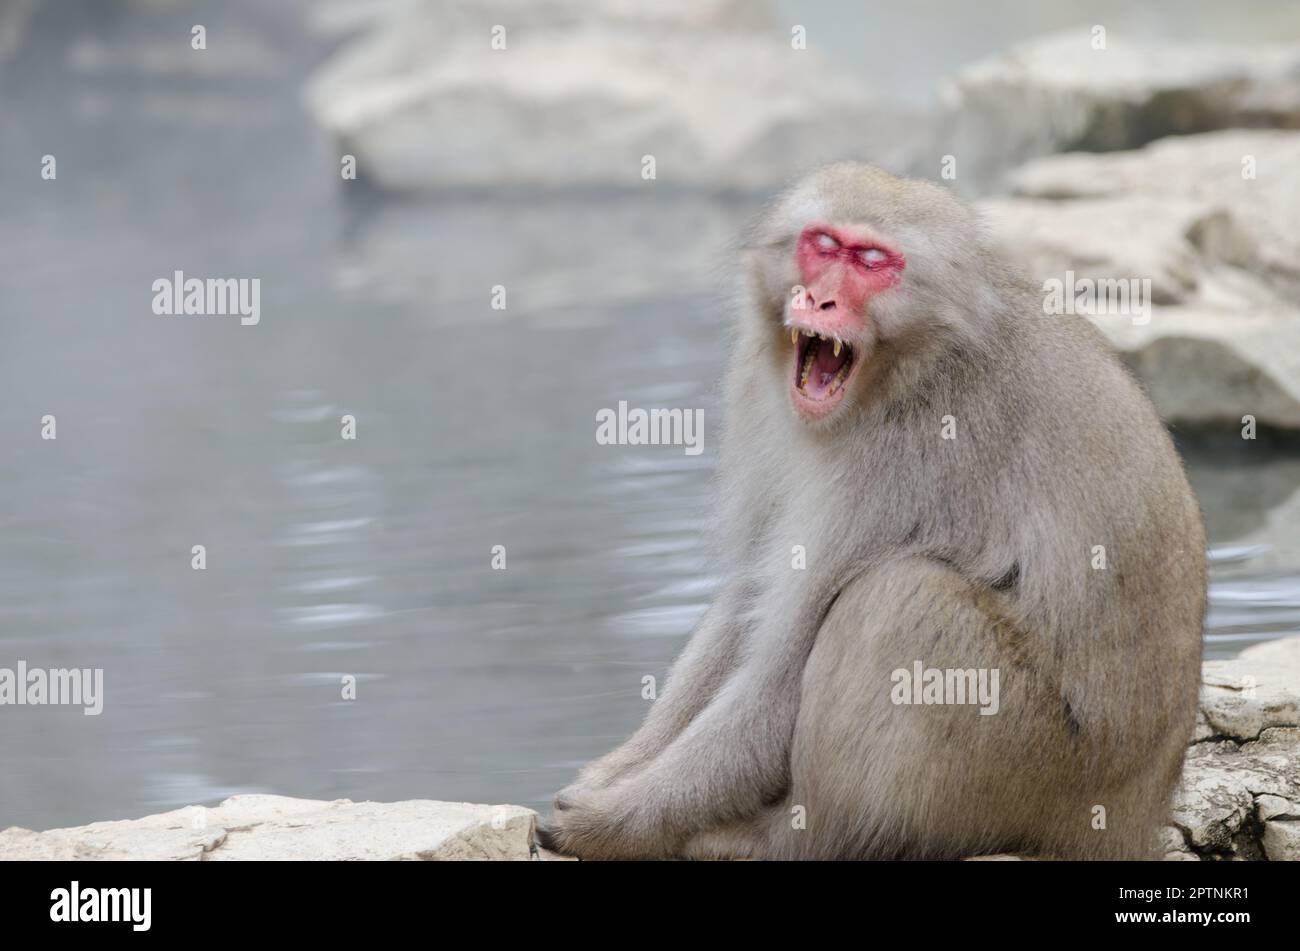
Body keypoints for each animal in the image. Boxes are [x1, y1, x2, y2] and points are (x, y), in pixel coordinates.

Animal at [537, 163, 1206, 860]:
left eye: (872, 261)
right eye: (825, 246)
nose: (820, 300)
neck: (910, 368)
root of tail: (1140, 813)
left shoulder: (909, 460)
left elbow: (780, 673)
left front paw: (614, 823)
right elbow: (750, 593)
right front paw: (613, 771)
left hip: (1040, 765)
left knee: (900, 598)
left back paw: (787, 837)